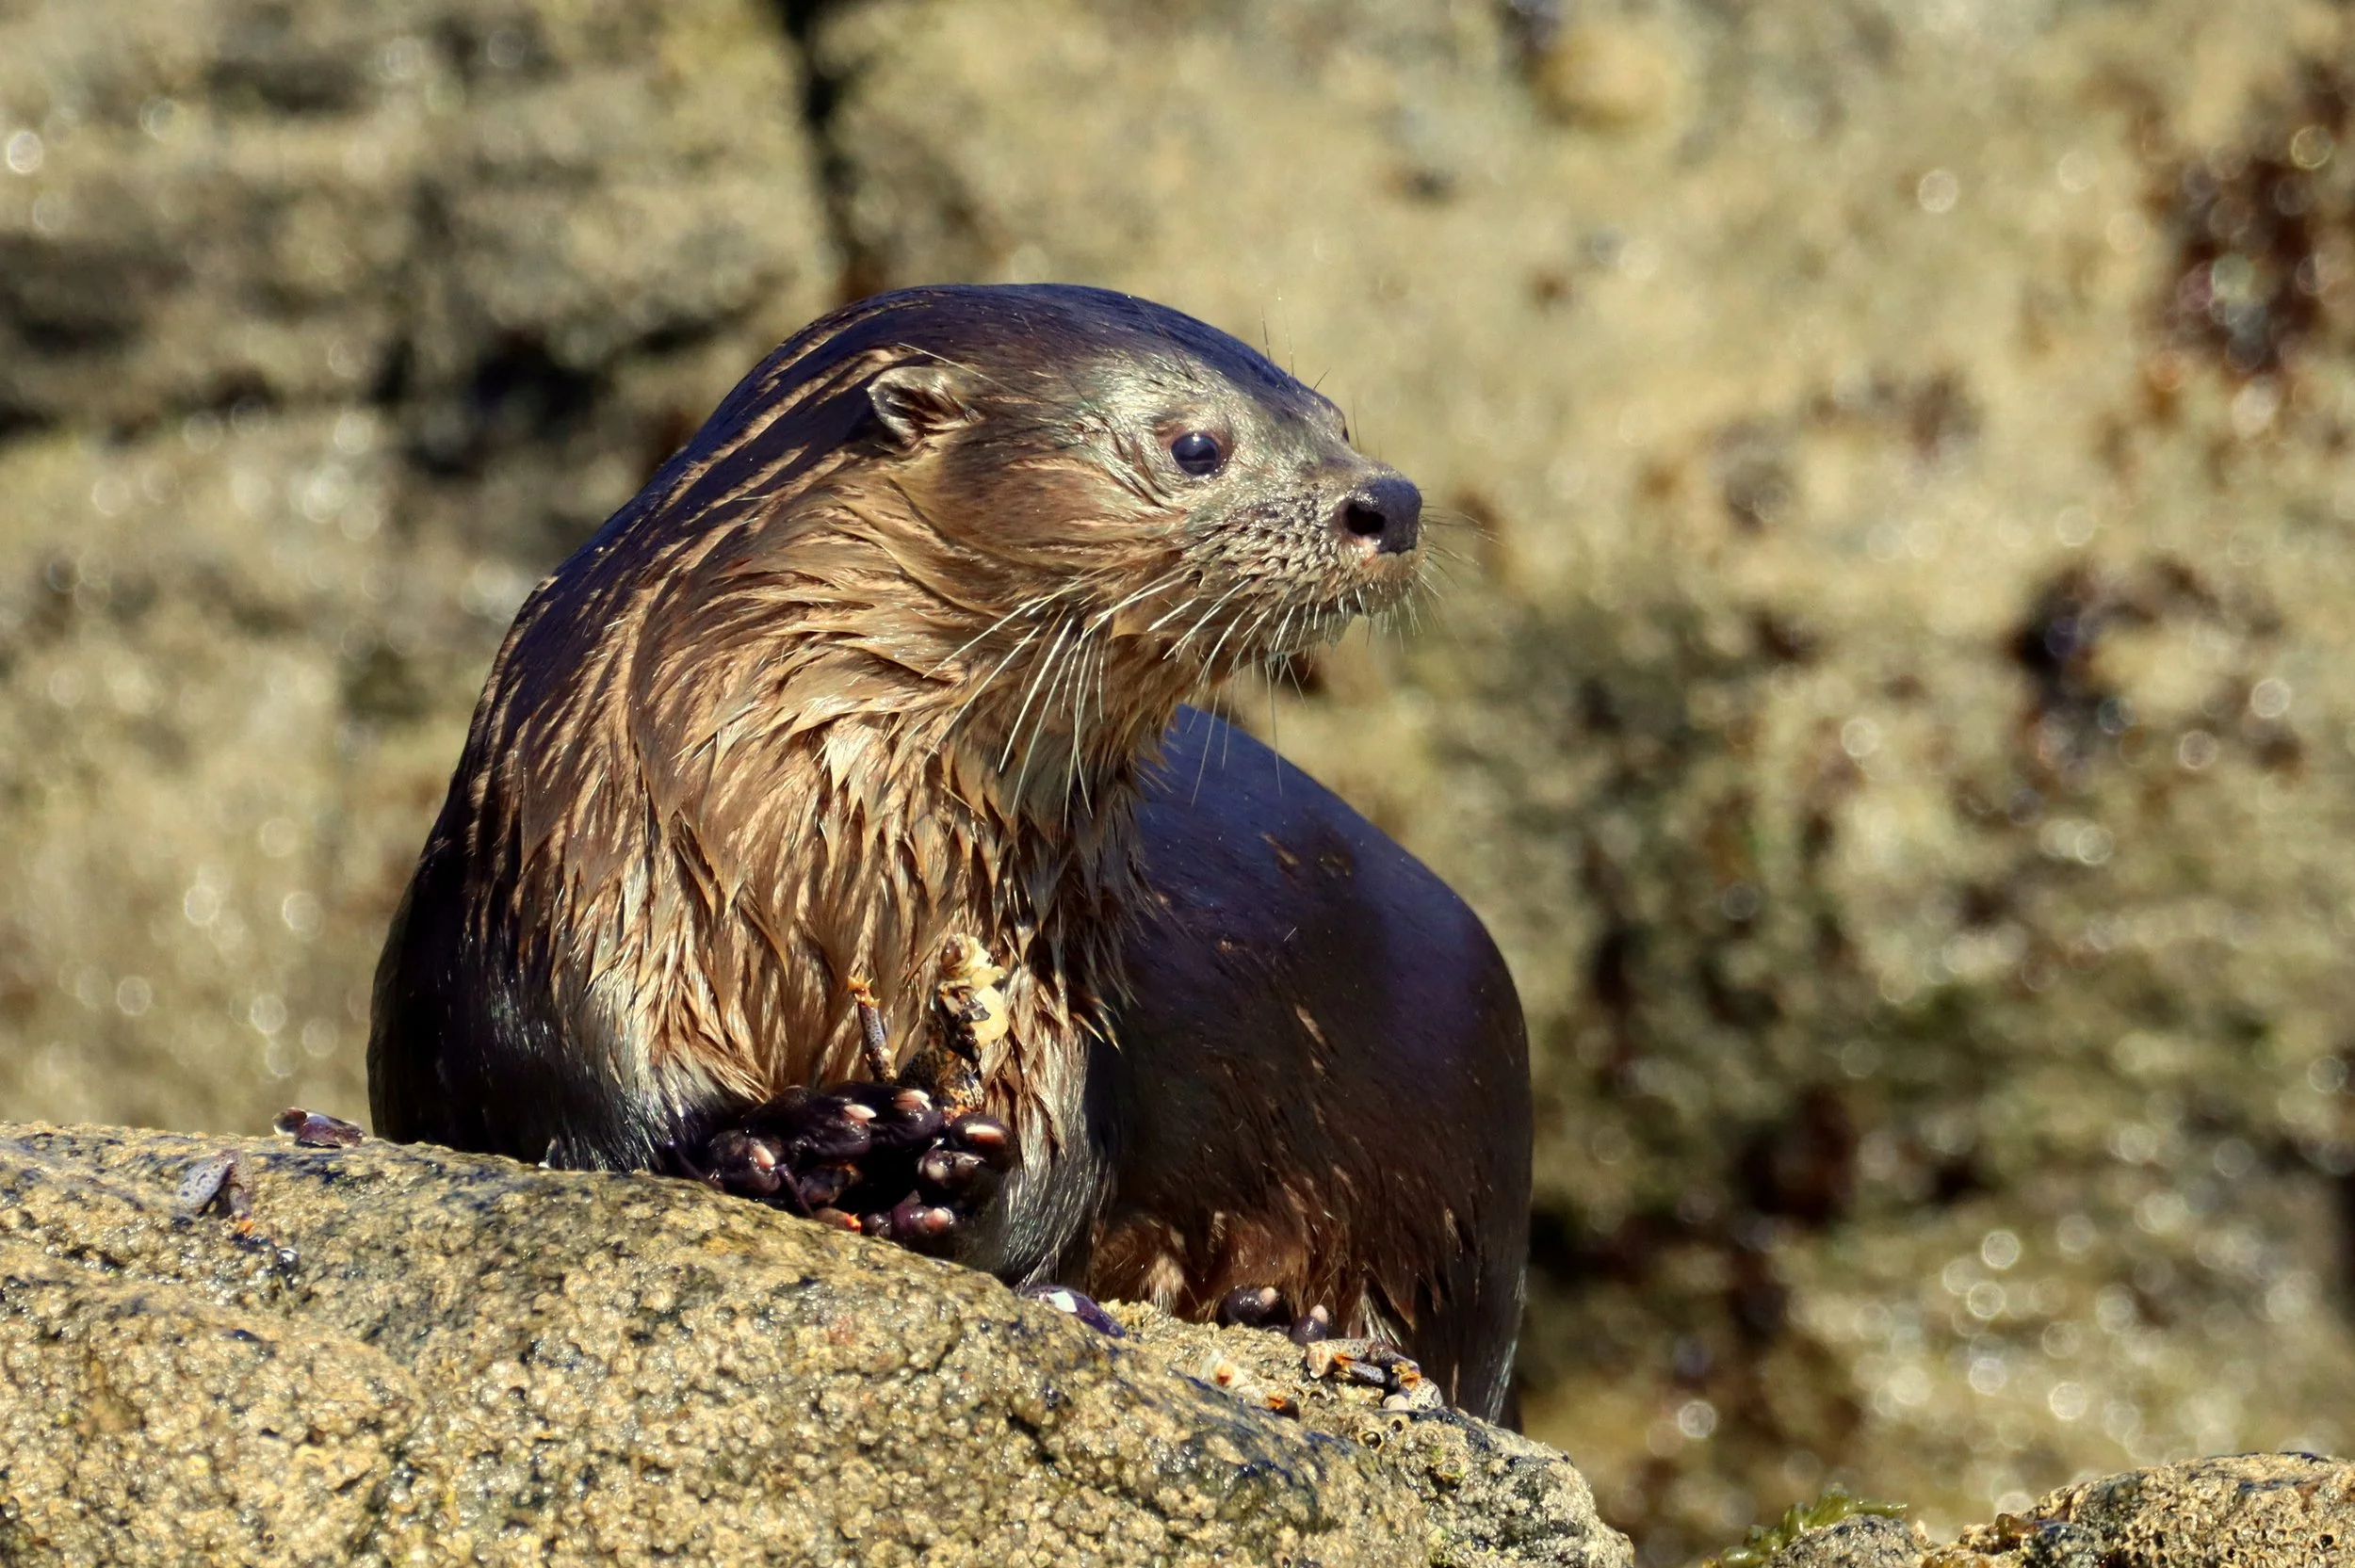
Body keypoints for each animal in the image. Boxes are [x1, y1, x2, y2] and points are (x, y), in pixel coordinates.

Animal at [369, 284, 1530, 1420]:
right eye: (1197, 444)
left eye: (1337, 422)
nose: (1390, 500)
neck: (830, 875)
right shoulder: (561, 870)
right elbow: (571, 1088)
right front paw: (785, 1137)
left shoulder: (1059, 974)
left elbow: (1058, 1166)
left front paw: (947, 1177)